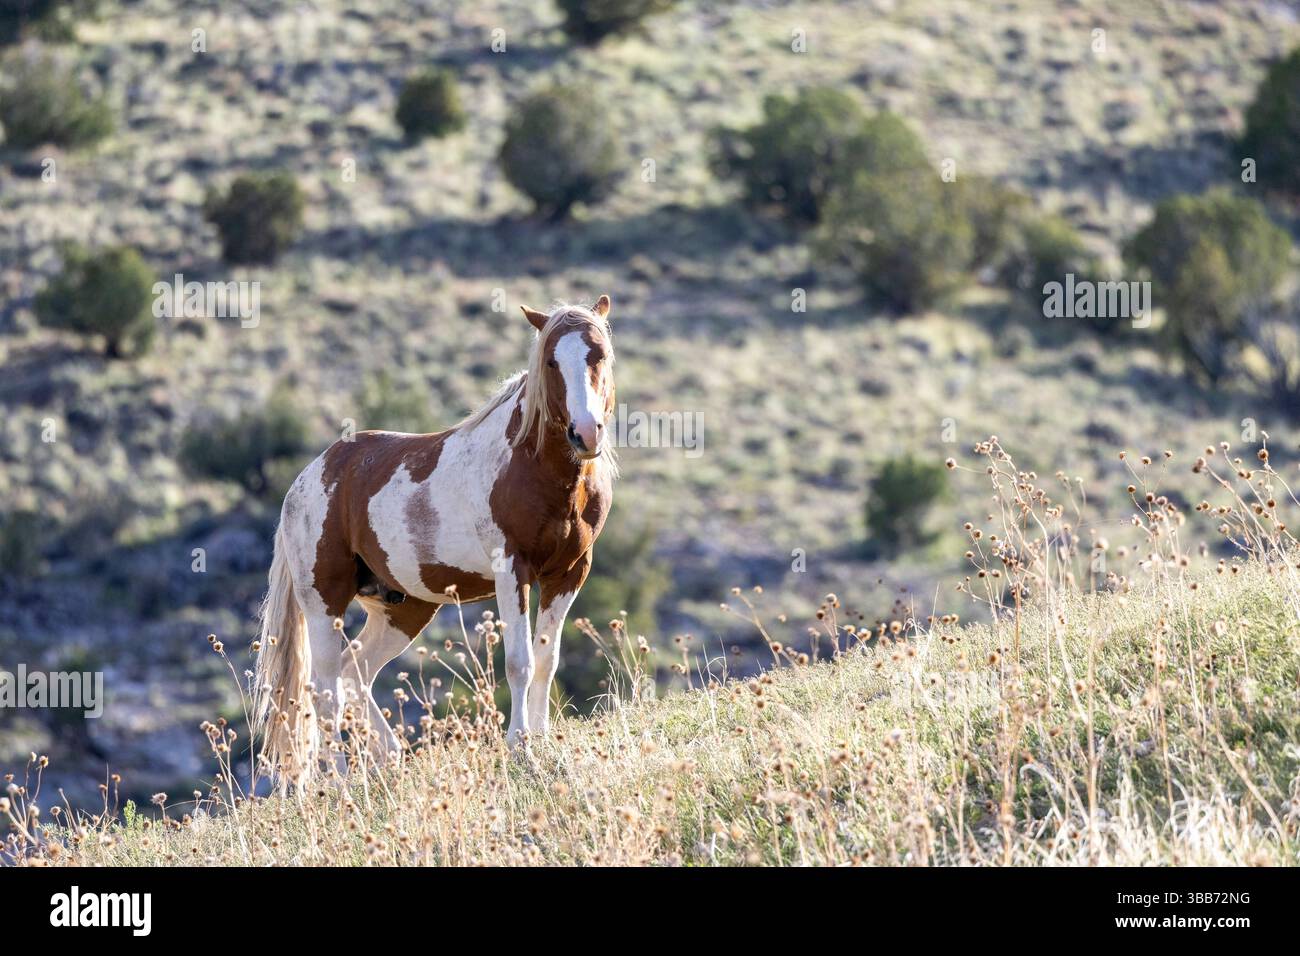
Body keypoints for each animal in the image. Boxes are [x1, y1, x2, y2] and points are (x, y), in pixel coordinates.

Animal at [252, 296, 617, 783]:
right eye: (551, 361)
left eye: (600, 355)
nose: (586, 432)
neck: (534, 466)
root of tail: (307, 479)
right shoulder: (512, 570)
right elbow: (519, 663)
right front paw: (521, 749)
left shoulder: (569, 573)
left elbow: (546, 661)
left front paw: (542, 743)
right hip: (323, 602)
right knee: (324, 686)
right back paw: (343, 781)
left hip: (403, 608)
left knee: (354, 673)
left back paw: (390, 759)